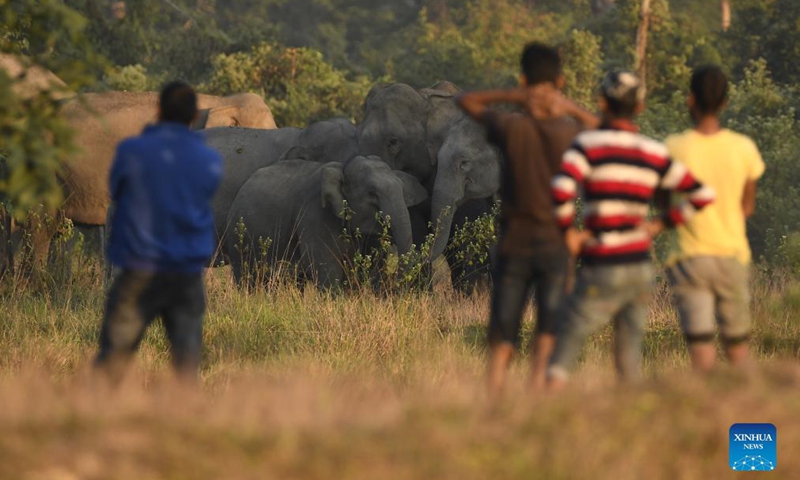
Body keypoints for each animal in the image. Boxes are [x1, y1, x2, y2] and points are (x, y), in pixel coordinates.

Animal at [225, 156, 428, 288]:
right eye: (372, 193)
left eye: (402, 190)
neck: (343, 167)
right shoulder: (315, 214)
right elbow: (324, 265)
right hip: (239, 241)